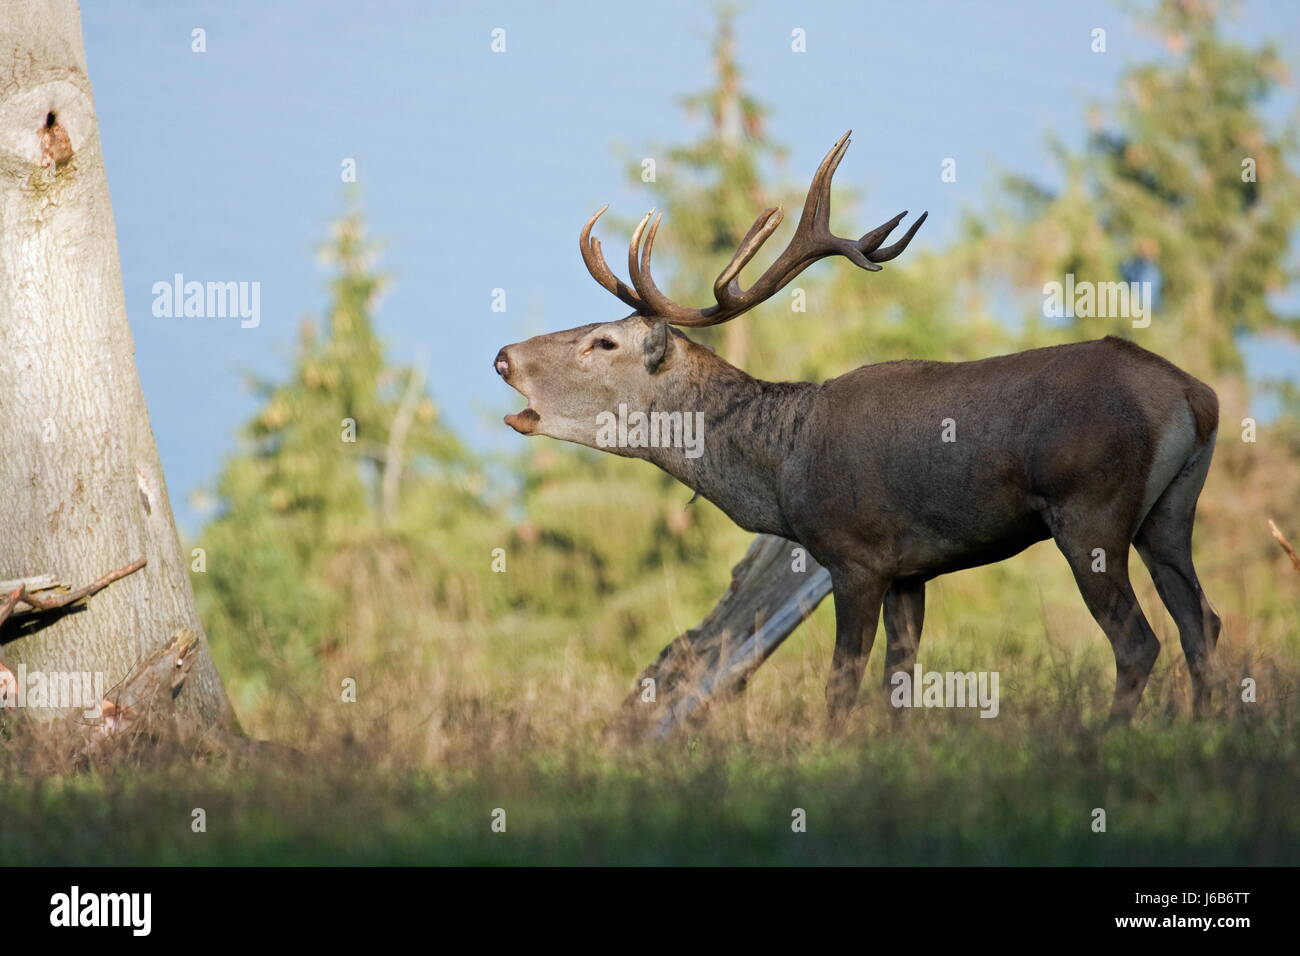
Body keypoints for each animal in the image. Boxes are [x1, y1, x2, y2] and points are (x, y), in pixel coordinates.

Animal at [494, 131, 1221, 726]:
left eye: (603, 342)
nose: (502, 356)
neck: (780, 467)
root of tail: (1196, 395)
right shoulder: (911, 569)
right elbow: (900, 683)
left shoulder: (855, 555)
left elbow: (842, 685)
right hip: (1170, 512)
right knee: (1202, 621)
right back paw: (1207, 731)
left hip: (1090, 509)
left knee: (1139, 640)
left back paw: (1104, 739)